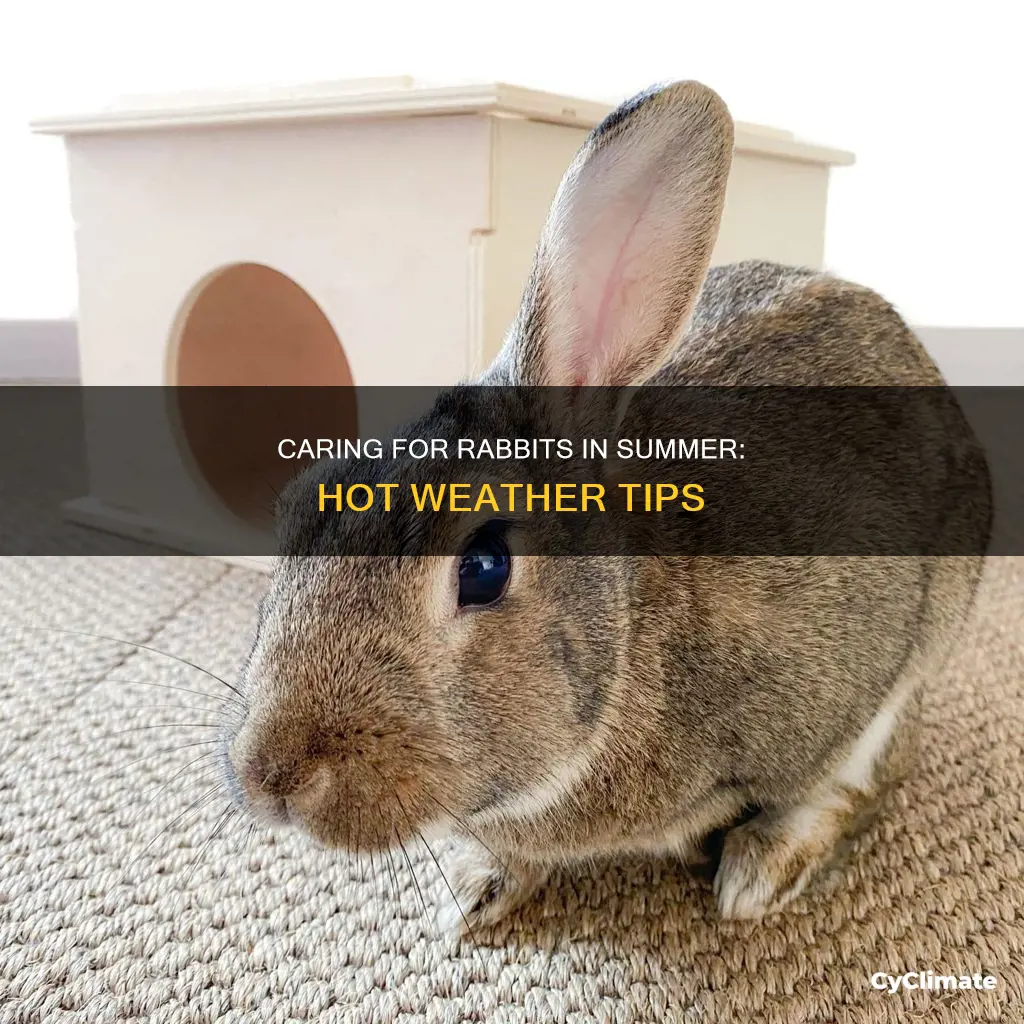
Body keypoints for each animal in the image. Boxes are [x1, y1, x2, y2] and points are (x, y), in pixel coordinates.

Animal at [219, 81, 990, 932]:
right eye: (296, 511)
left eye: (484, 567)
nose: (274, 779)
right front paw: (474, 887)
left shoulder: (841, 696)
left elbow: (837, 785)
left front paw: (752, 875)